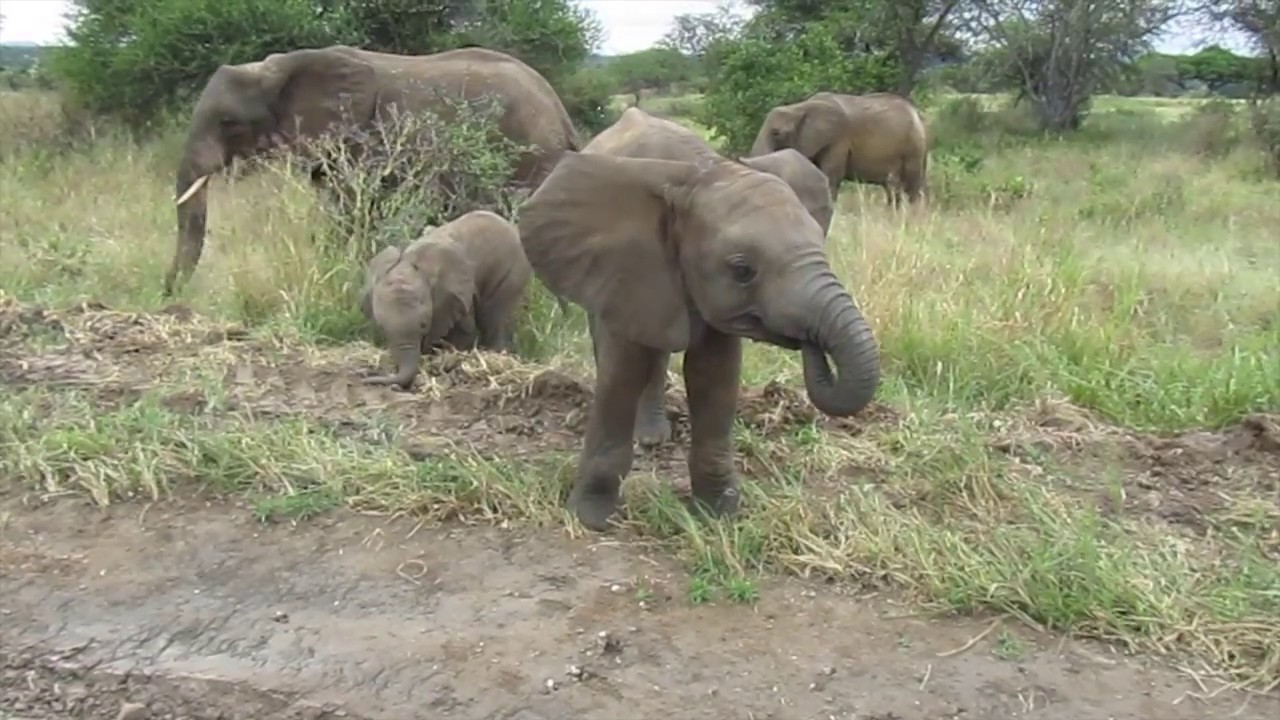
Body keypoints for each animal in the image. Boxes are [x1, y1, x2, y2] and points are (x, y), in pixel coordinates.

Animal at [167, 45, 579, 297]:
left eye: (228, 123)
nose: (167, 295)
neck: (279, 67)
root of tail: (561, 111)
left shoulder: (360, 137)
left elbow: (349, 211)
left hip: (529, 156)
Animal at [360, 210, 531, 389]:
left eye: (424, 325)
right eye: (382, 328)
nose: (365, 378)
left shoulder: (456, 295)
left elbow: (464, 330)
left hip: (511, 271)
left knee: (493, 318)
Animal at [750, 91, 929, 207]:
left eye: (776, 133)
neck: (799, 108)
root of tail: (918, 115)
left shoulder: (839, 140)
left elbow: (830, 176)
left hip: (913, 148)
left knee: (912, 187)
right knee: (894, 188)